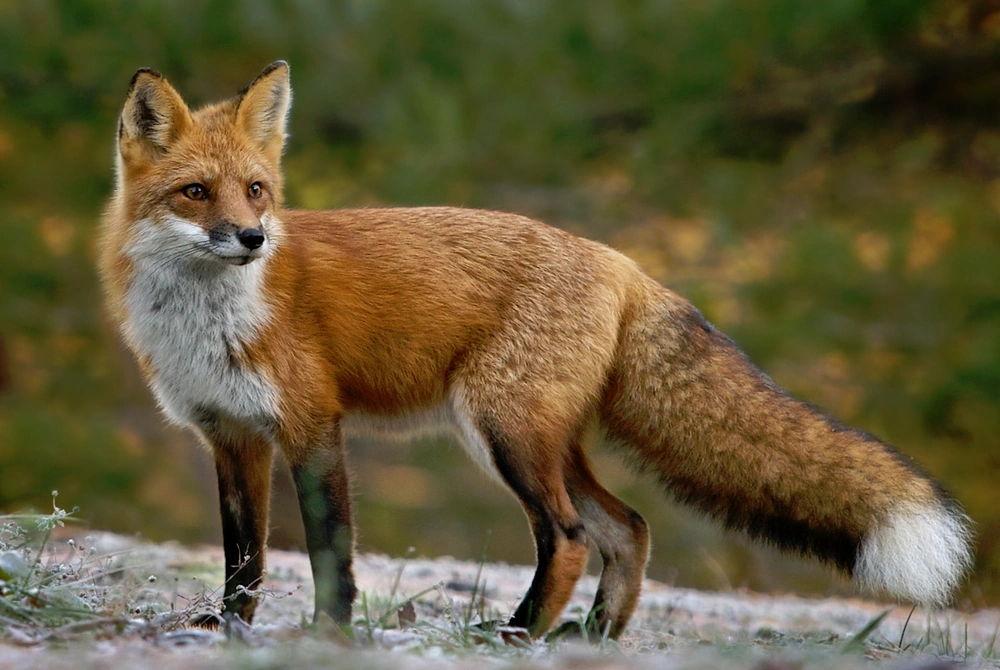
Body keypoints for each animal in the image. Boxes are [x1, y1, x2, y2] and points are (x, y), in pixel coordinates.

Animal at [98, 61, 972, 640]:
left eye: (257, 191)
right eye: (195, 192)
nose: (252, 238)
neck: (207, 320)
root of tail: (623, 263)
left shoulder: (312, 424)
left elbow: (329, 551)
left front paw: (327, 635)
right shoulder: (230, 436)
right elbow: (243, 558)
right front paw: (226, 631)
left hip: (505, 434)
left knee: (573, 535)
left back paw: (516, 634)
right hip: (540, 440)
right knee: (629, 527)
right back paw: (590, 639)